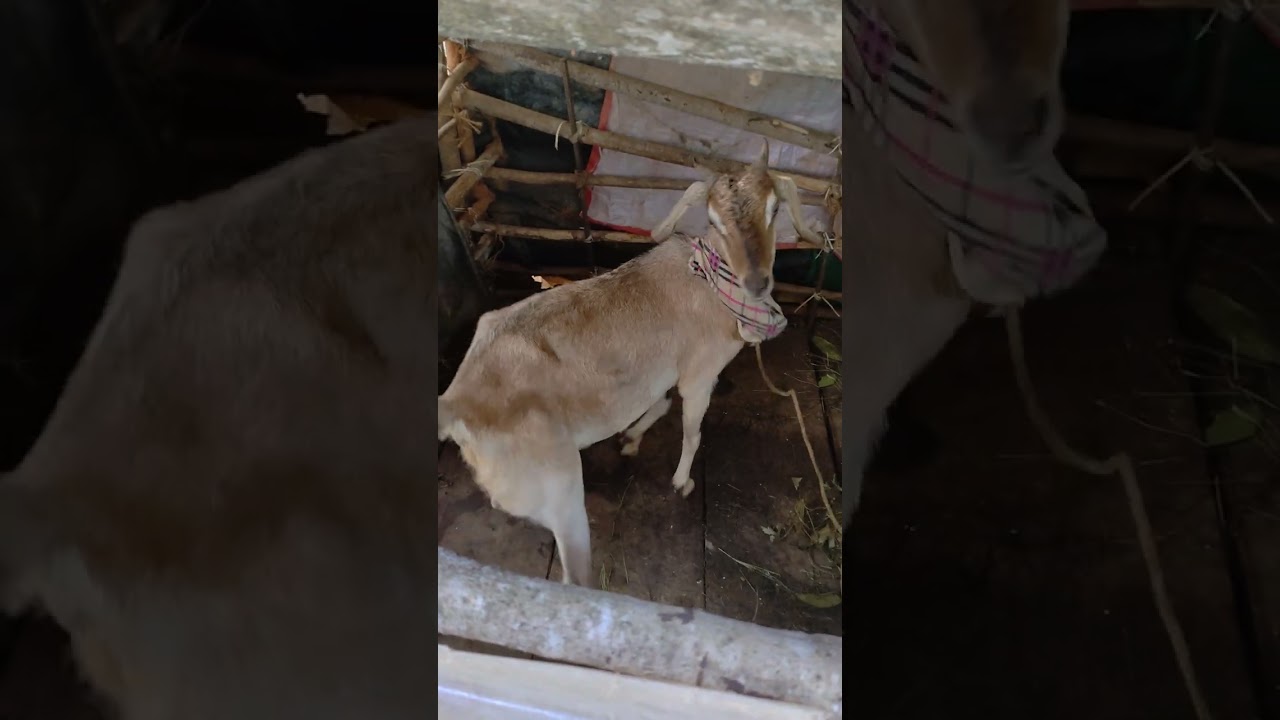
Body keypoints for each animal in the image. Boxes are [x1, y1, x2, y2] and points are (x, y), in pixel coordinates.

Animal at [438, 141, 818, 587]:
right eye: (714, 220)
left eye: (774, 208)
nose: (758, 282)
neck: (711, 283)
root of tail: (457, 403)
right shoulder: (700, 374)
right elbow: (691, 431)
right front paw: (682, 481)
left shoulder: (662, 372)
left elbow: (660, 401)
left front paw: (632, 437)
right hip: (561, 491)